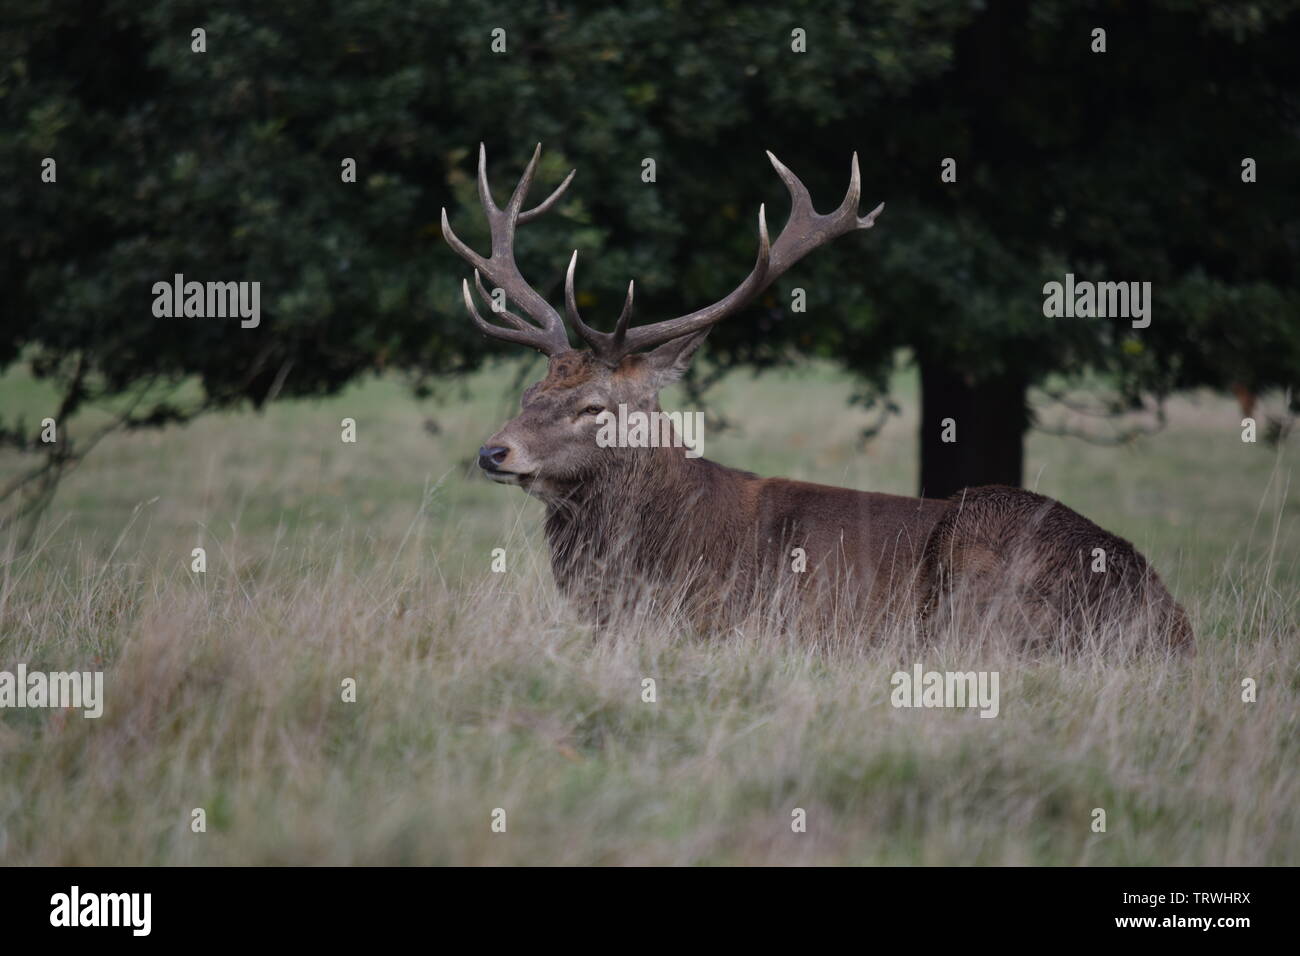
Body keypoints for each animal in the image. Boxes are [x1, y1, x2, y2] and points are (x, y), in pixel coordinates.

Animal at [442, 144, 1193, 651]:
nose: (492, 451)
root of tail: (1174, 627)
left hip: (982, 560)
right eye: (532, 389)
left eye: (596, 406)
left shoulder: (732, 620)